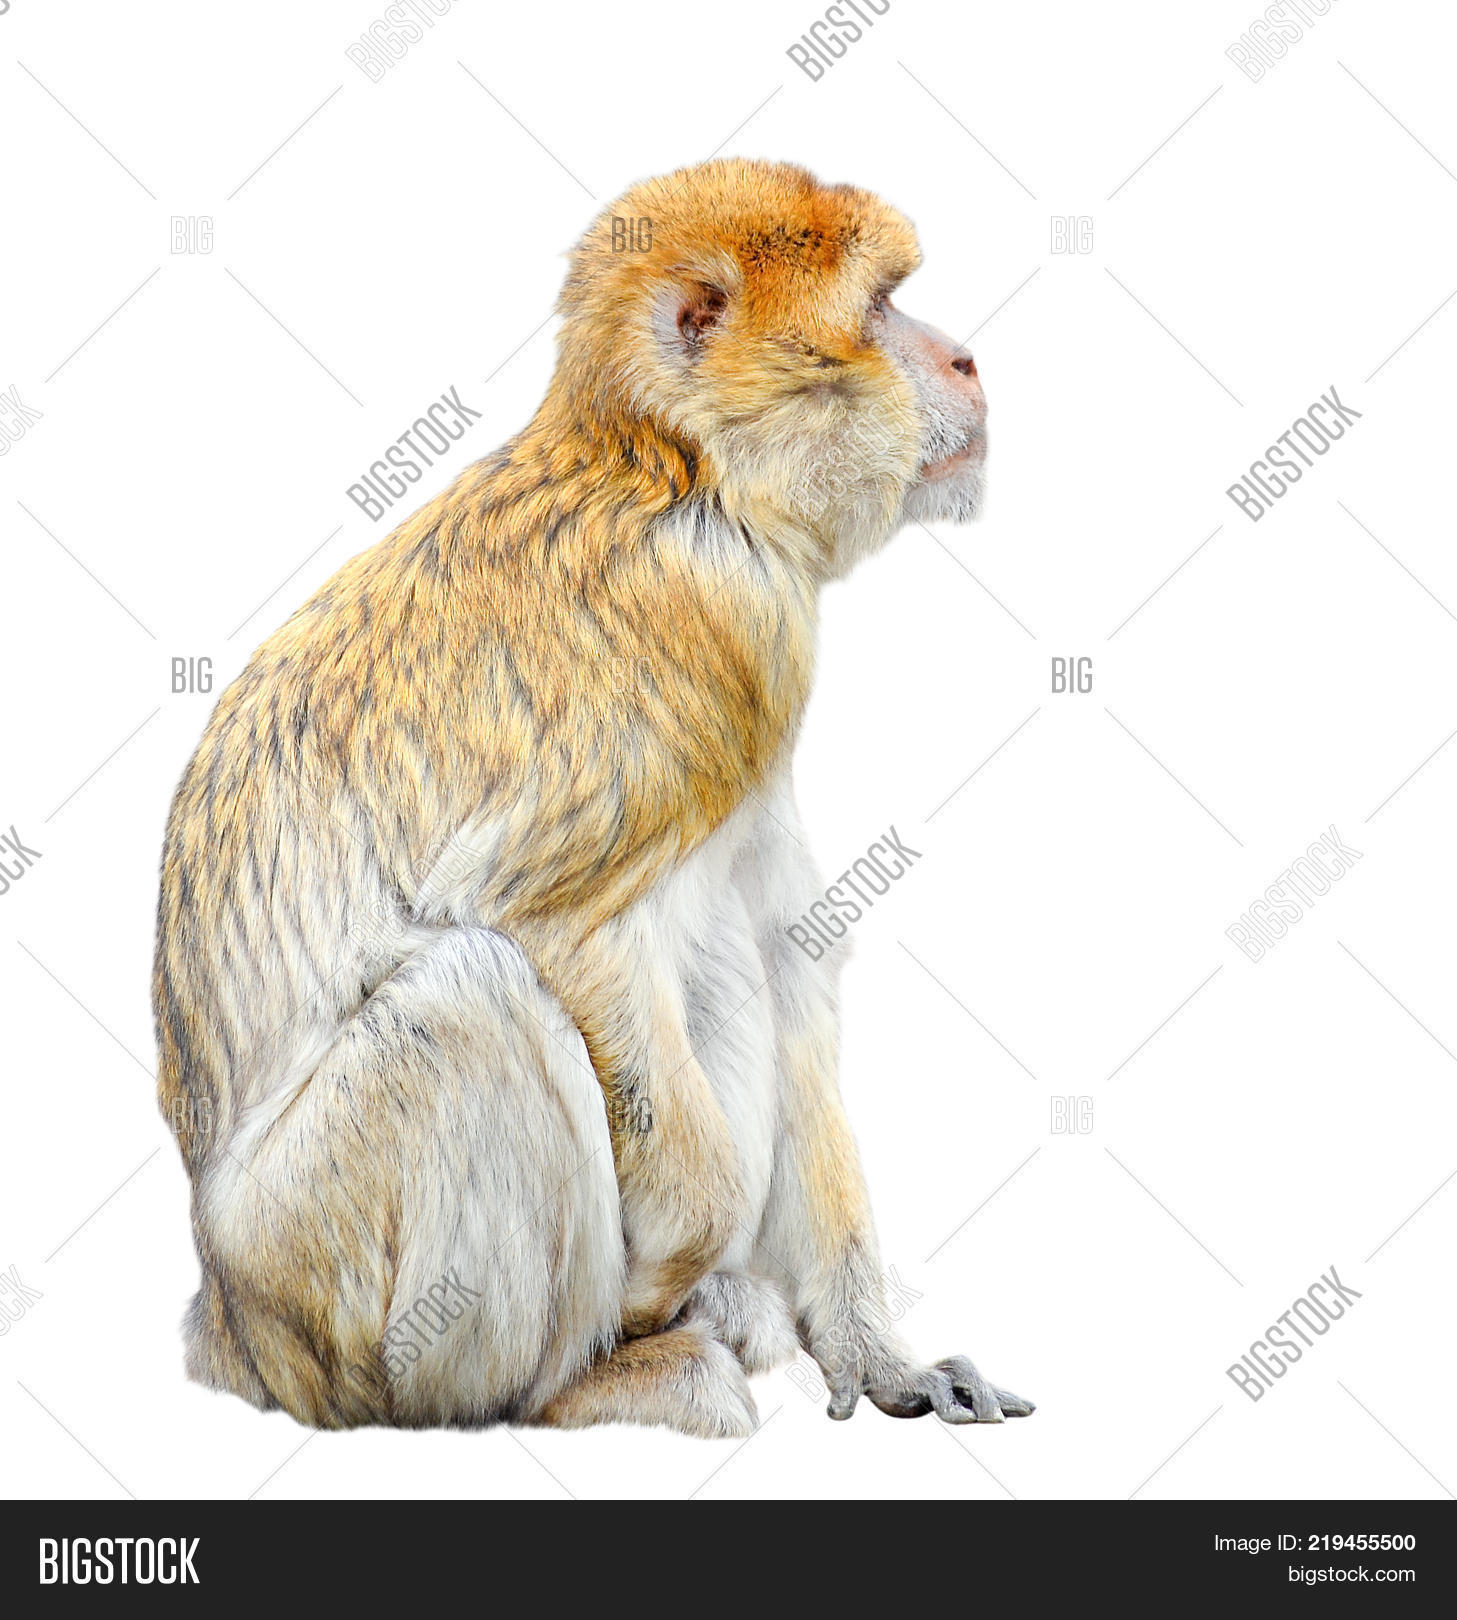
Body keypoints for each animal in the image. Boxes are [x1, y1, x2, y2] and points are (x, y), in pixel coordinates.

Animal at [153, 157, 1033, 1437]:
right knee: (470, 995)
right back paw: (576, 1381)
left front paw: (877, 1355)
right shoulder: (723, 624)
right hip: (316, 1278)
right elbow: (546, 922)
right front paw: (672, 1270)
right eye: (878, 309)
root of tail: (228, 1326)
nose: (964, 359)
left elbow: (785, 951)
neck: (680, 469)